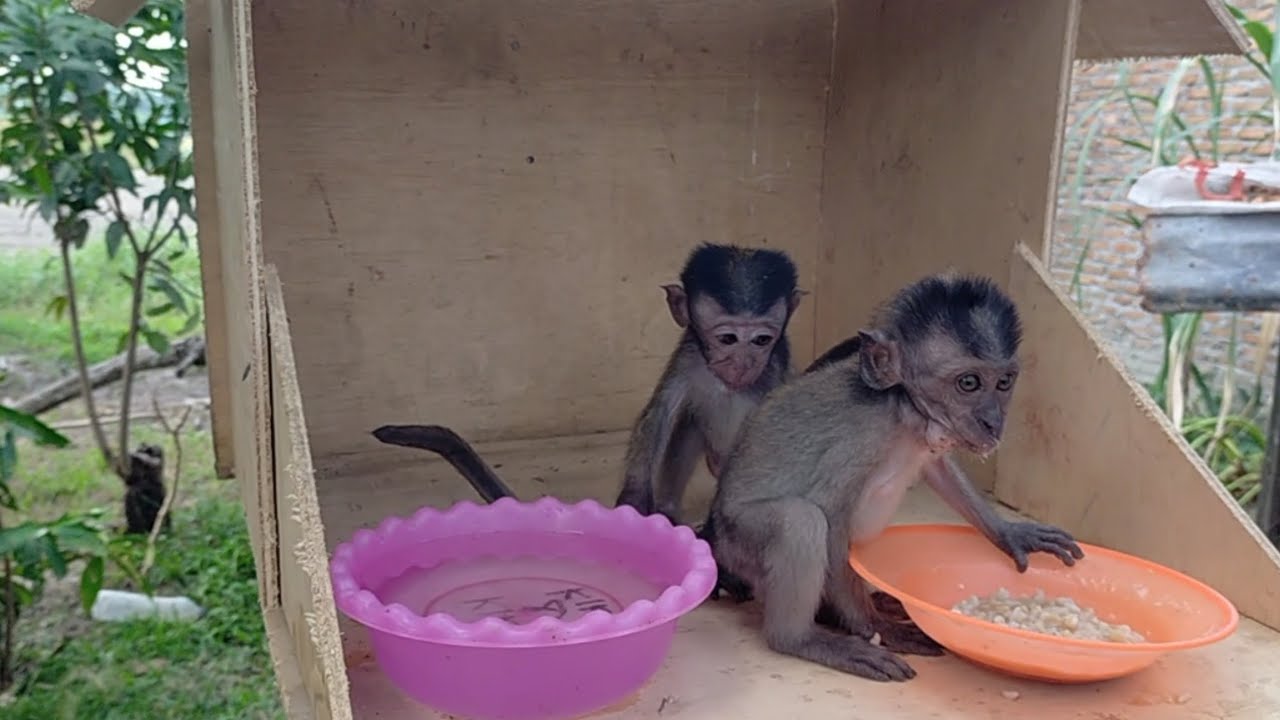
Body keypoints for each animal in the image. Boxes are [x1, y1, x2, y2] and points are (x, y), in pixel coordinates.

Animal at [613, 243, 805, 528]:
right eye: (727, 338)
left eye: (762, 340)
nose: (743, 364)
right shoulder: (688, 356)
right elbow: (660, 414)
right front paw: (633, 499)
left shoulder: (775, 370)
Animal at [704, 273, 1085, 682]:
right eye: (968, 383)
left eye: (1004, 383)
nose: (992, 421)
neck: (904, 413)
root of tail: (716, 540)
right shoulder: (861, 439)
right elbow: (830, 518)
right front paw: (875, 626)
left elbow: (938, 467)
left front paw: (1010, 533)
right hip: (739, 542)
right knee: (799, 519)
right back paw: (803, 638)